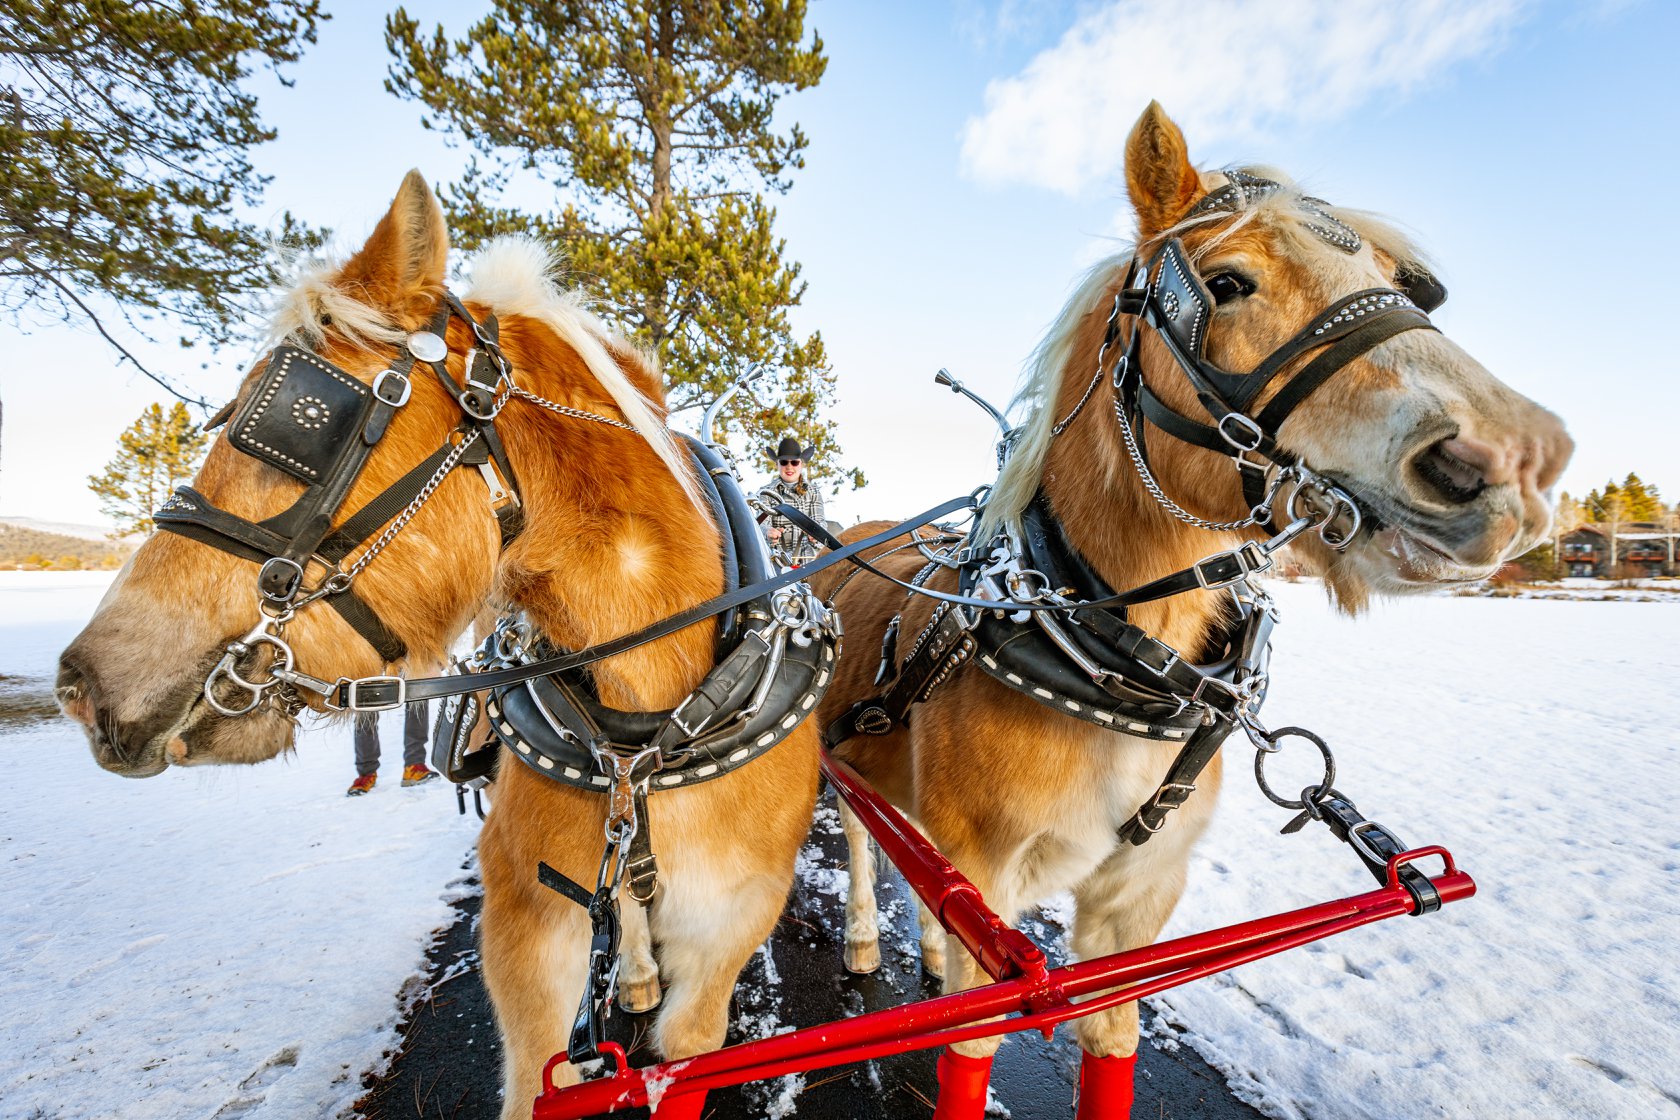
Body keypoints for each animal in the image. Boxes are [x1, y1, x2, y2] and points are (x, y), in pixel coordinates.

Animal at [813, 102, 1572, 1120]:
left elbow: (1111, 1041)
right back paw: (865, 939)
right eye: (1226, 283)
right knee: (864, 842)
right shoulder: (989, 878)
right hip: (848, 767)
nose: (1517, 459)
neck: (1111, 665)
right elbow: (967, 1046)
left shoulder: (1137, 901)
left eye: (1391, 280)